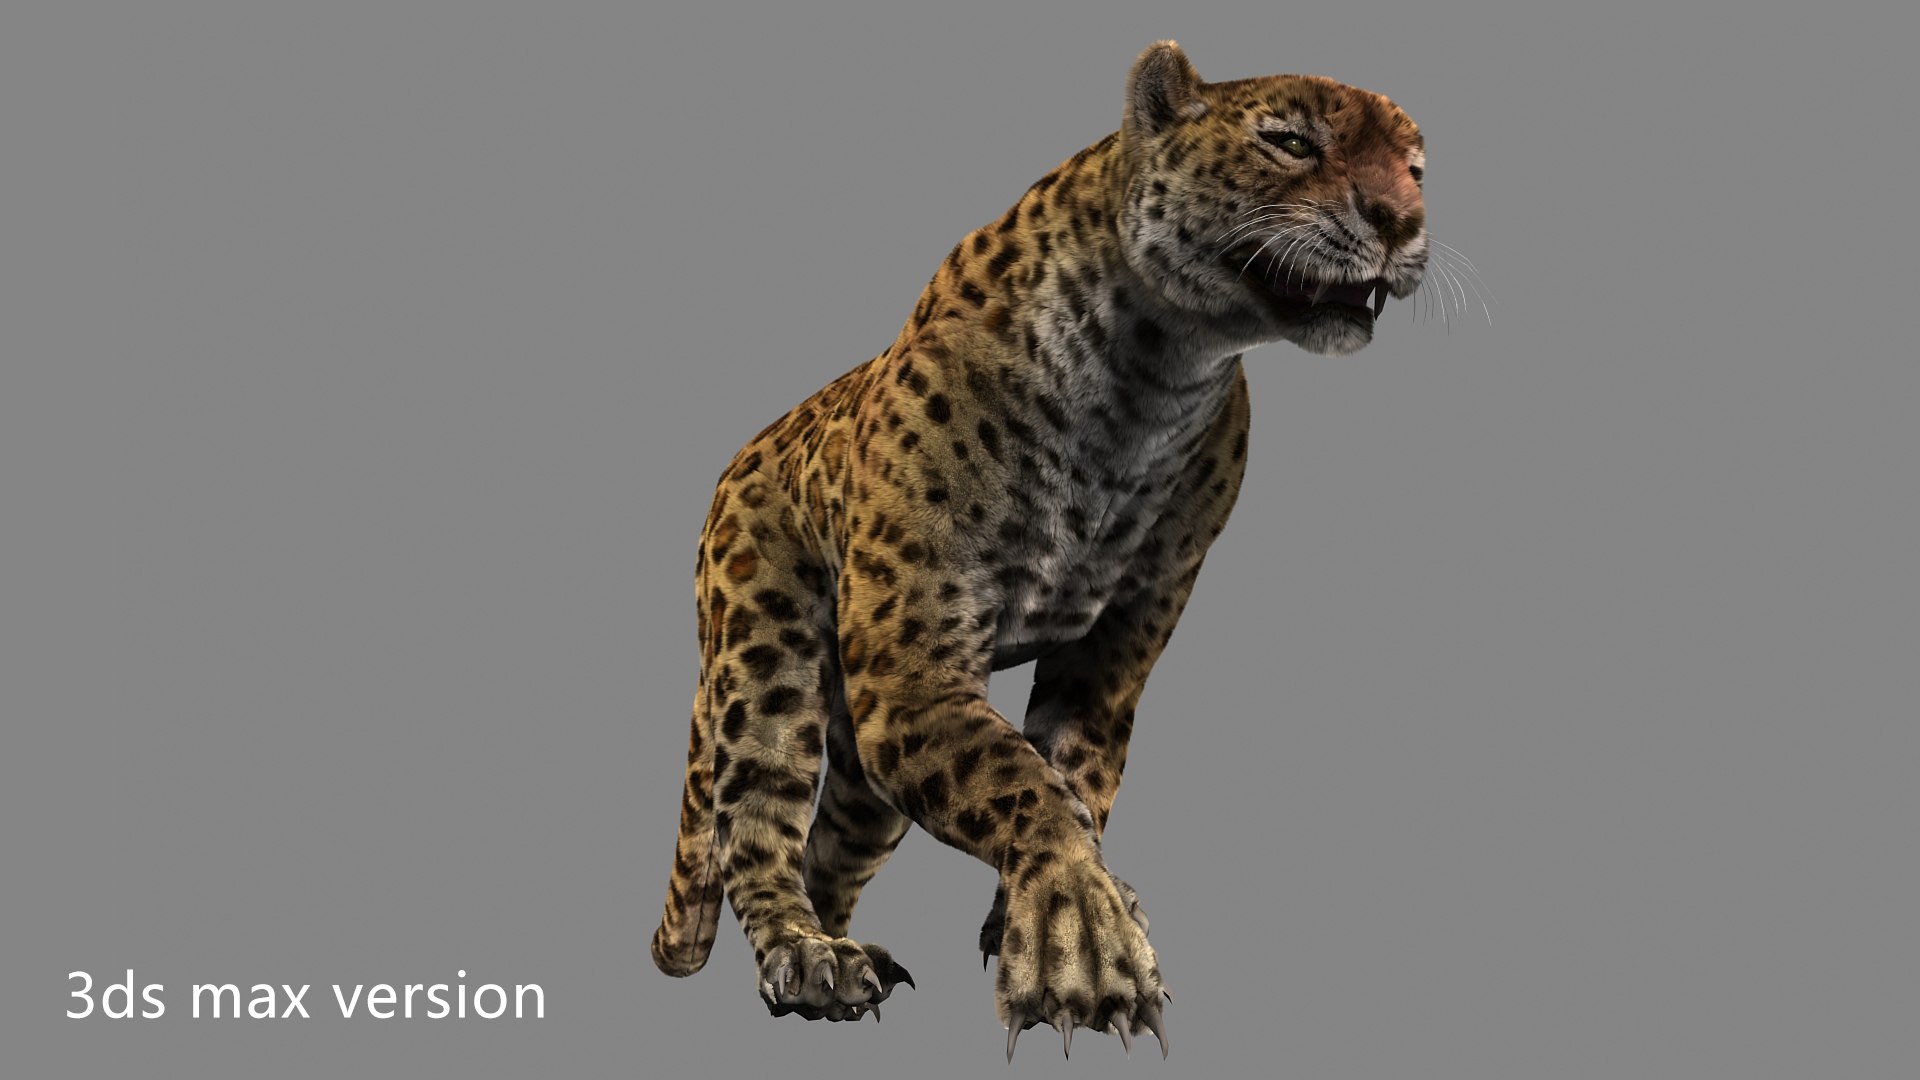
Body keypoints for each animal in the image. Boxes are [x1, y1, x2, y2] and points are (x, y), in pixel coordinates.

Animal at [648, 40, 1428, 1060]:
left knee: (833, 841)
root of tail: (747, 452)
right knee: (757, 822)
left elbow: (1076, 776)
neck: (1155, 375)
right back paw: (806, 956)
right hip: (767, 663)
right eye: (1291, 143)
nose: (1403, 221)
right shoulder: (911, 670)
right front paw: (1082, 942)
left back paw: (845, 945)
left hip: (859, 761)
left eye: (1417, 167)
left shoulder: (1114, 649)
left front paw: (1059, 907)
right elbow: (1019, 778)